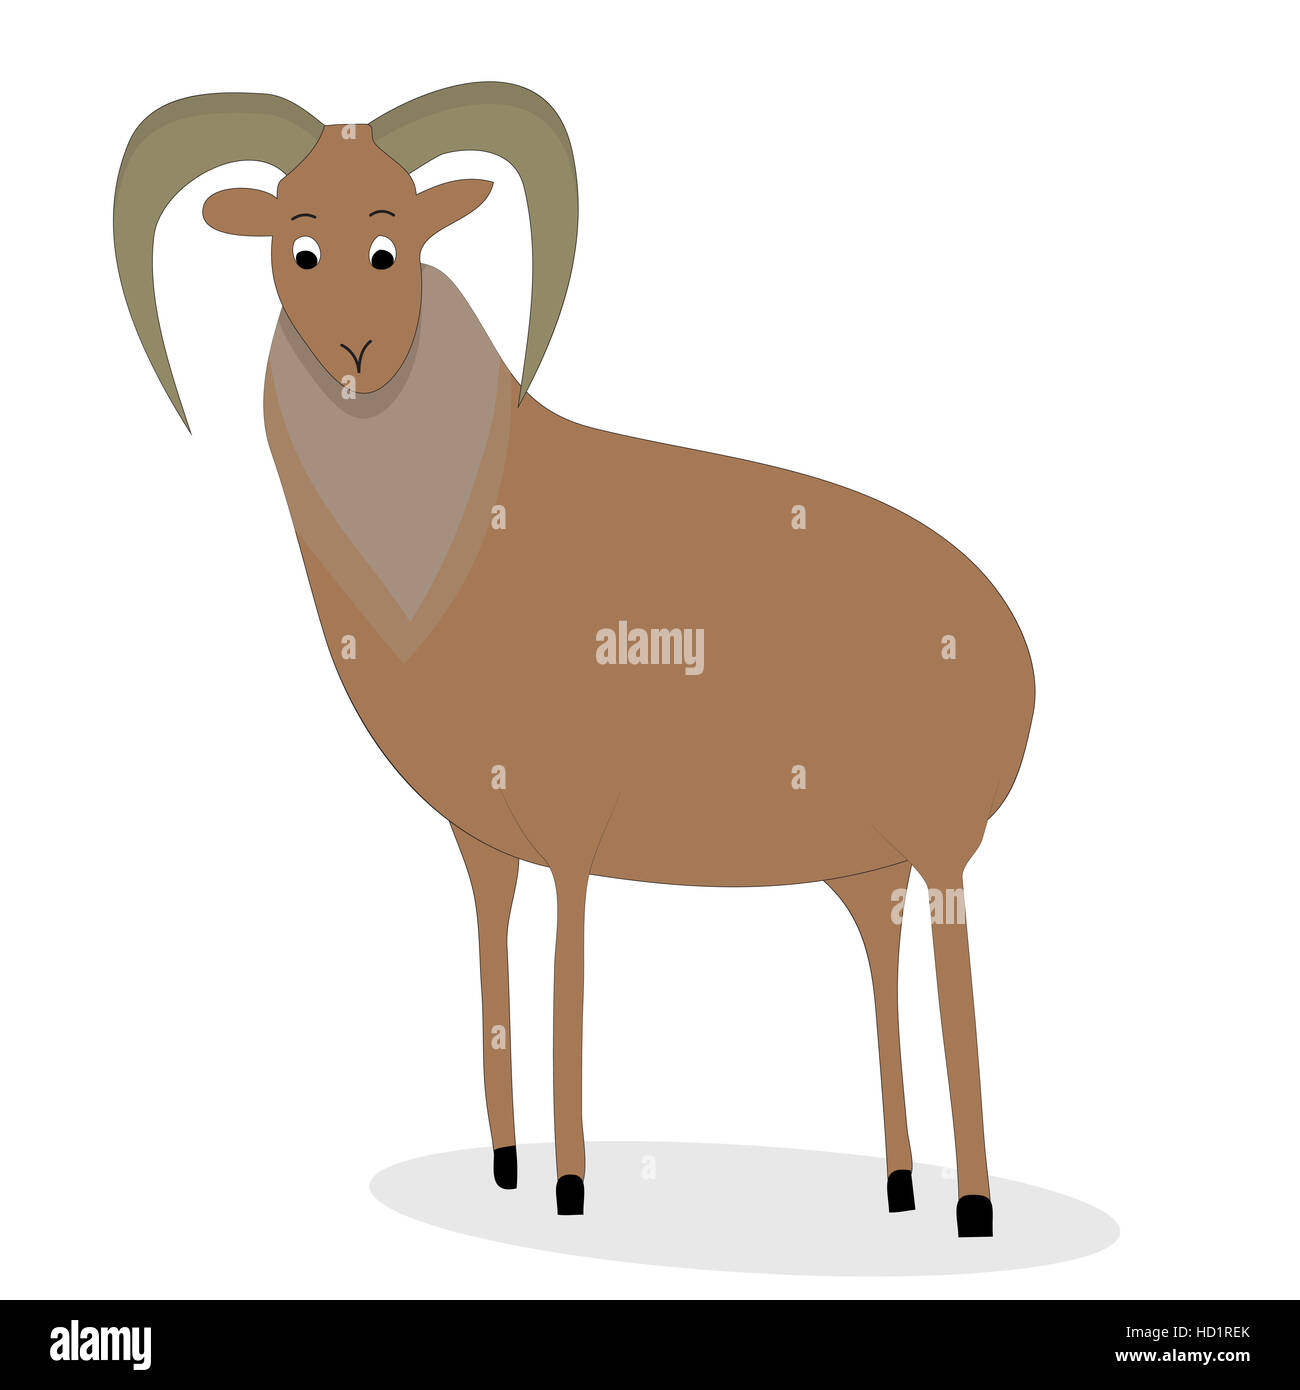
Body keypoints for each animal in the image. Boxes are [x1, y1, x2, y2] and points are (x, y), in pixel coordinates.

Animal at [114, 83, 1035, 1235]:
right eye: (300, 249)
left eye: (391, 247)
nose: (360, 351)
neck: (453, 540)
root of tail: (1011, 636)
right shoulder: (480, 836)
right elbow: (493, 971)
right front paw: (507, 1165)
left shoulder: (572, 824)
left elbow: (566, 976)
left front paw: (569, 1188)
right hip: (867, 864)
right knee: (881, 952)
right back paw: (900, 1186)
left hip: (945, 840)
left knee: (954, 979)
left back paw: (972, 1206)